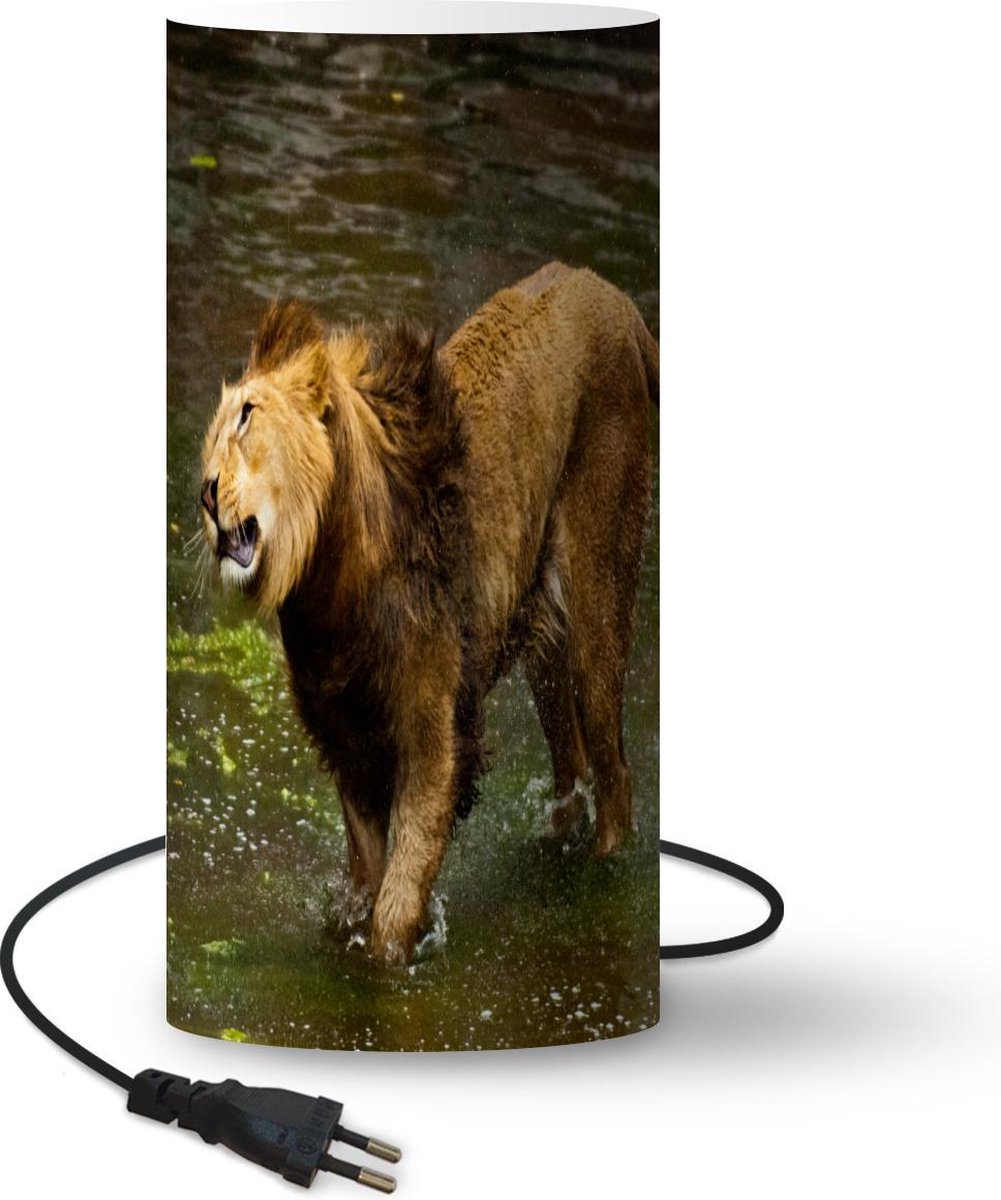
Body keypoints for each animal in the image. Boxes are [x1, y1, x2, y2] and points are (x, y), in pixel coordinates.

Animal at [200, 262, 658, 964]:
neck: (327, 590)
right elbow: (366, 876)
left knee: (616, 777)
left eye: (248, 416)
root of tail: (615, 297)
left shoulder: (432, 733)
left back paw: (600, 874)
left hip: (598, 604)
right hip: (544, 650)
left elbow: (399, 898)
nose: (202, 493)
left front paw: (388, 960)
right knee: (572, 767)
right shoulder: (347, 742)